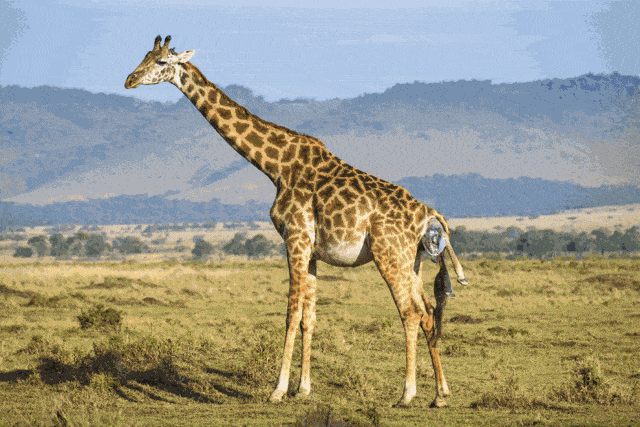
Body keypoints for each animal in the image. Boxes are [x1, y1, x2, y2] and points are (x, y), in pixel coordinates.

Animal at [125, 35, 468, 408]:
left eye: (161, 62)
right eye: (145, 56)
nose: (129, 79)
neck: (276, 166)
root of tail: (429, 214)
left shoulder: (295, 238)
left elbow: (291, 314)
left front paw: (278, 389)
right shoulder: (312, 250)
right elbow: (309, 318)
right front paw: (303, 389)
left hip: (389, 255)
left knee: (410, 313)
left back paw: (407, 394)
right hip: (412, 261)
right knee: (428, 313)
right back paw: (440, 394)